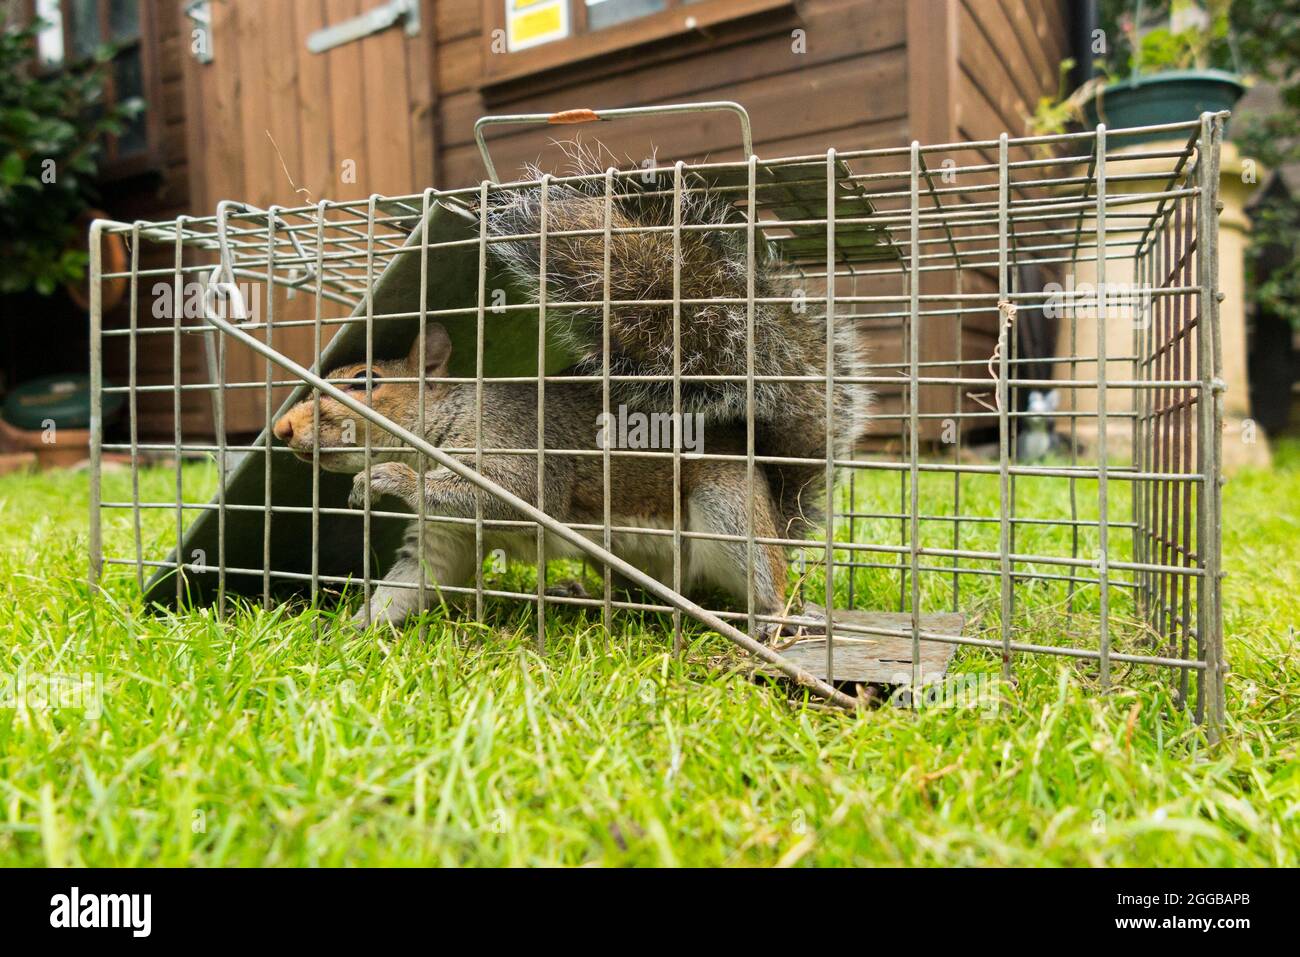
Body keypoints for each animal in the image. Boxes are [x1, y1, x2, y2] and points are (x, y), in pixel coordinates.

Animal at [272, 143, 870, 635]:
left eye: (365, 381)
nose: (282, 429)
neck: (443, 426)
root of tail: (776, 500)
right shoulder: (444, 537)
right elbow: (412, 583)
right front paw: (347, 632)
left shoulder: (514, 450)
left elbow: (513, 493)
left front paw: (385, 477)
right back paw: (585, 593)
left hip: (729, 512)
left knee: (769, 580)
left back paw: (777, 621)